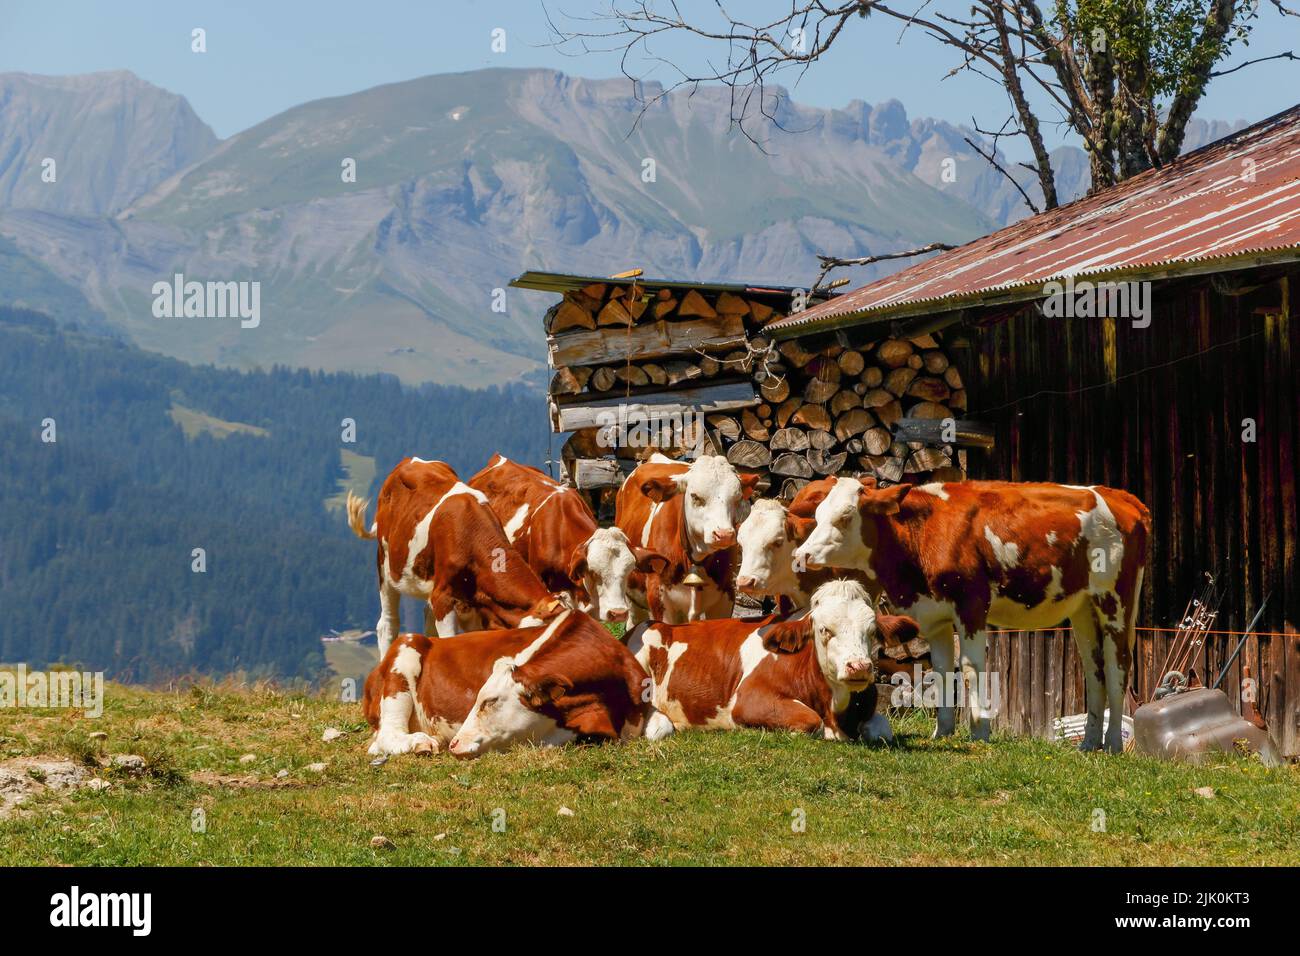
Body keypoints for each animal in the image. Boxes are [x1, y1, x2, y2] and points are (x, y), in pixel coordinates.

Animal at [363, 607, 675, 758]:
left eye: (489, 701)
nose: (456, 744)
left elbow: (664, 727)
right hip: (403, 657)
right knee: (386, 736)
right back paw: (419, 743)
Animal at [615, 454, 761, 622]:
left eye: (737, 498)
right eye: (695, 496)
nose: (724, 535)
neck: (695, 559)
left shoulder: (726, 595)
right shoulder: (658, 597)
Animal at [627, 580, 893, 742]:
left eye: (872, 631)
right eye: (824, 630)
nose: (859, 667)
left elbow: (883, 729)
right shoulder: (749, 699)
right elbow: (811, 721)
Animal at [792, 477, 1151, 753]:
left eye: (845, 516)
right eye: (818, 515)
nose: (801, 555)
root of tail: (1122, 497)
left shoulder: (972, 603)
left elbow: (970, 667)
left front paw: (980, 731)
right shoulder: (934, 615)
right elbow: (940, 671)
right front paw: (942, 733)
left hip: (1116, 600)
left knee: (1118, 666)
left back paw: (1113, 745)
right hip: (1084, 608)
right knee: (1094, 669)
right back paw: (1089, 743)